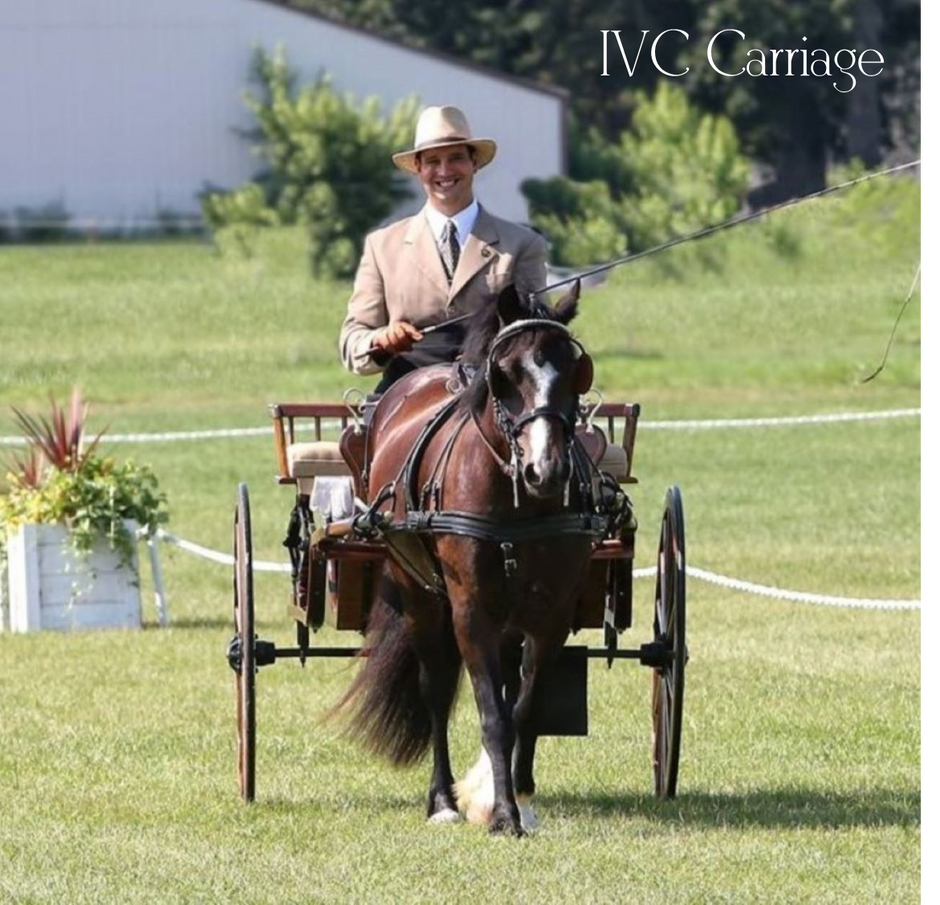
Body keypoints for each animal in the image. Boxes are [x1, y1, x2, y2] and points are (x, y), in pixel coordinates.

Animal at [338, 280, 597, 836]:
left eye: (576, 371)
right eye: (506, 374)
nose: (546, 470)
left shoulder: (552, 615)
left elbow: (524, 710)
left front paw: (519, 799)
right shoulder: (471, 611)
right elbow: (491, 715)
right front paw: (501, 814)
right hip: (418, 593)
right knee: (435, 693)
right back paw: (442, 800)